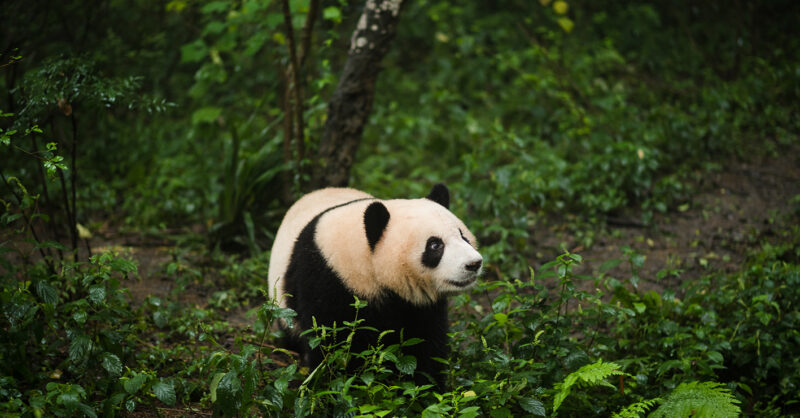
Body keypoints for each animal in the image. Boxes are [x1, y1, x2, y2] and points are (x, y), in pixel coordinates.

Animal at [267, 183, 482, 386]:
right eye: (435, 245)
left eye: (463, 236)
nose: (474, 264)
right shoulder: (324, 278)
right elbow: (332, 343)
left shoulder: (421, 305)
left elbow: (426, 343)